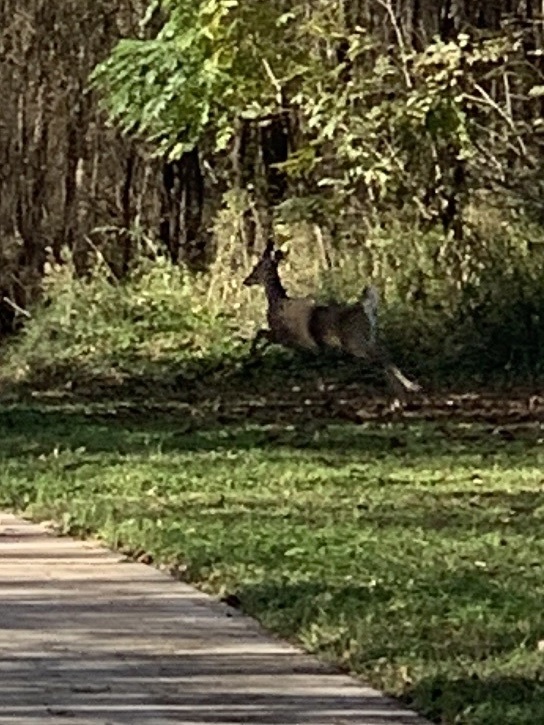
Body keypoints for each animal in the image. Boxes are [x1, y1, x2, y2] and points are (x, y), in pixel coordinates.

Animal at [242, 239, 421, 400]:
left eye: (257, 267)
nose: (246, 280)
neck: (278, 301)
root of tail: (364, 308)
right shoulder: (303, 345)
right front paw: (322, 386)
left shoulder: (284, 335)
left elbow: (260, 333)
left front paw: (252, 357)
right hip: (369, 337)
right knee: (385, 354)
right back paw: (408, 389)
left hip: (354, 341)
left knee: (381, 358)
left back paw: (402, 395)